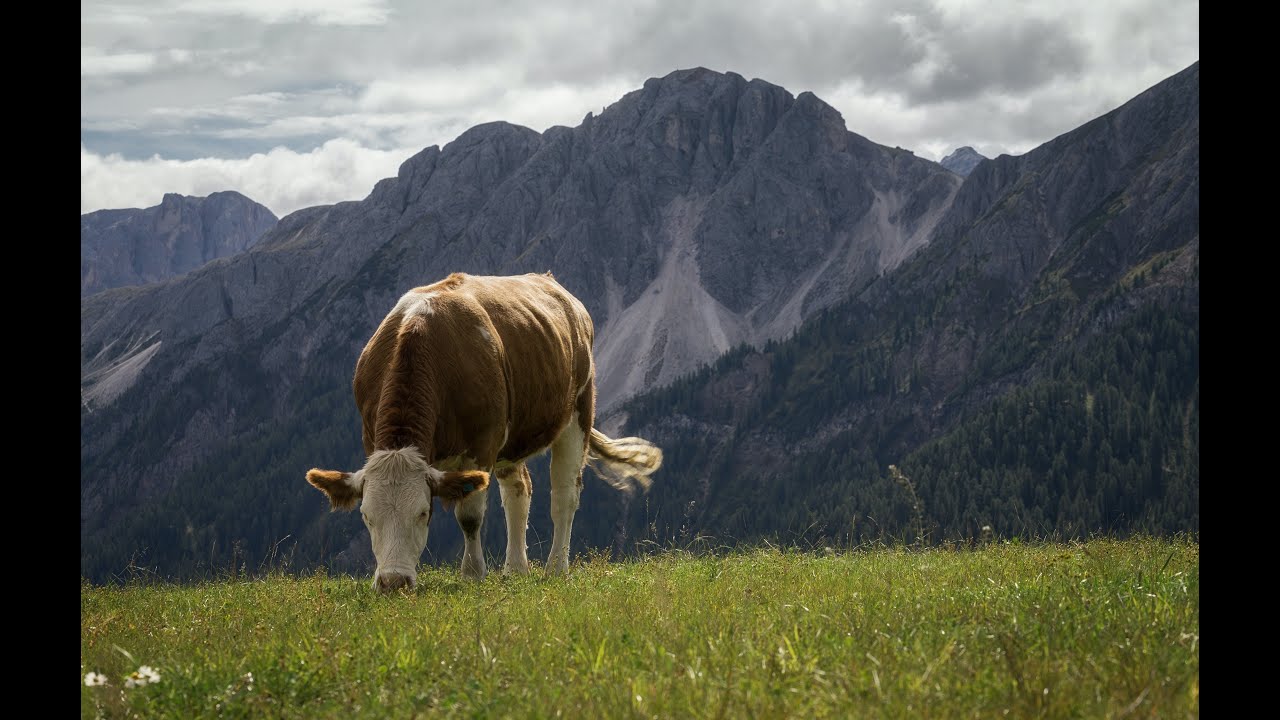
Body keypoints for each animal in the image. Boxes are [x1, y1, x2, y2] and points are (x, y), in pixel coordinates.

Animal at [305, 272, 663, 592]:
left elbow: (469, 516)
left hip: (577, 413)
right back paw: (516, 568)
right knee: (519, 490)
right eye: (367, 516)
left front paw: (473, 573)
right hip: (513, 439)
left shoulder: (482, 444)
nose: (393, 583)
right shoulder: (370, 438)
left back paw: (556, 568)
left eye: (423, 513)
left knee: (564, 495)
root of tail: (551, 282)